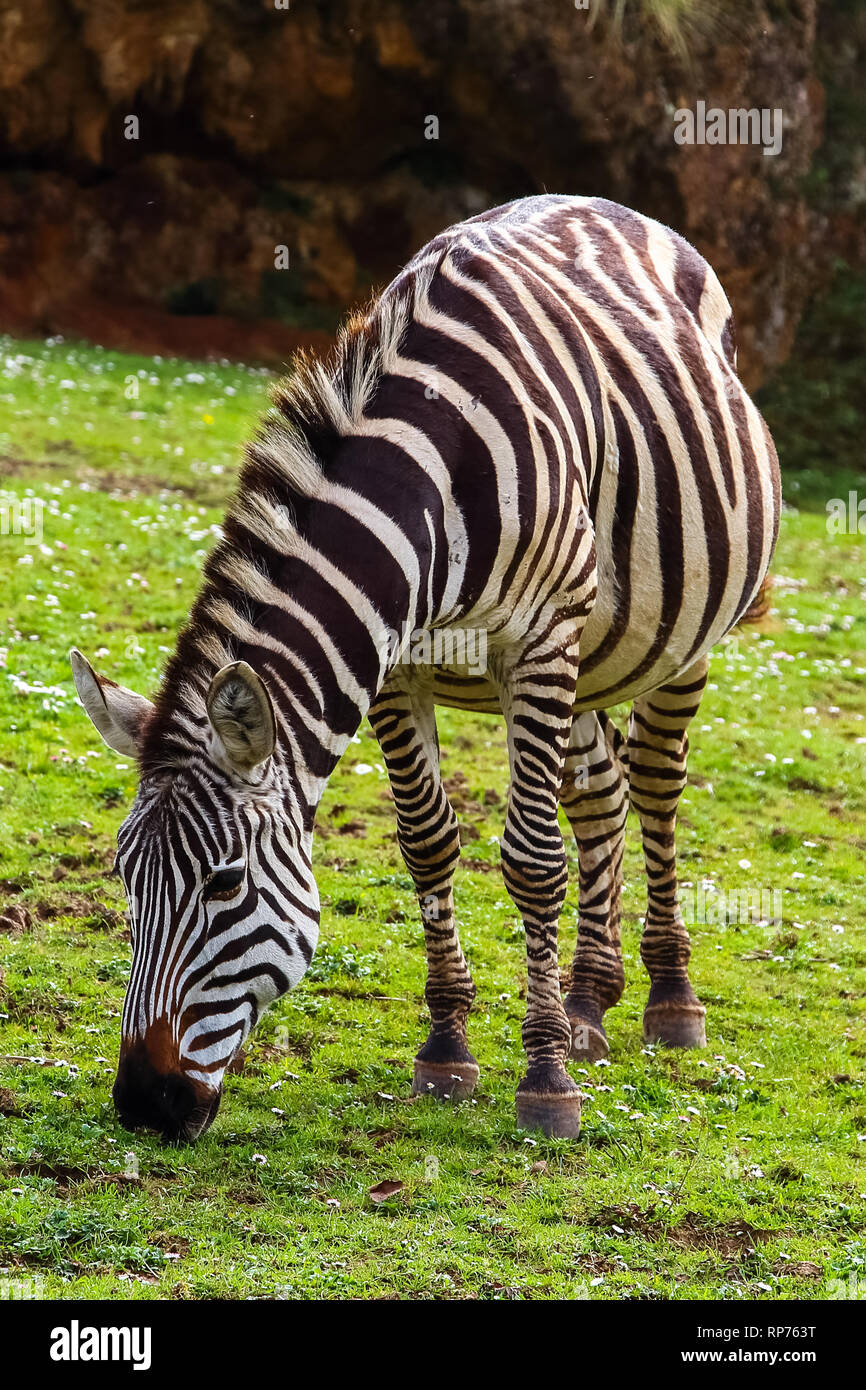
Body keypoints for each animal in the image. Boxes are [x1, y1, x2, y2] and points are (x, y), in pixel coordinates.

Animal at [71, 195, 780, 1141]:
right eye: (124, 877)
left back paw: (669, 998)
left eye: (224, 884)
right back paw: (589, 1000)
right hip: (593, 655)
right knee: (600, 794)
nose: (143, 1105)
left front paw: (545, 1078)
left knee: (657, 786)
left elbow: (530, 860)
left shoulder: (539, 639)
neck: (435, 466)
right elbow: (427, 842)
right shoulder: (397, 667)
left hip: (674, 641)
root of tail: (617, 208)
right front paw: (448, 1048)